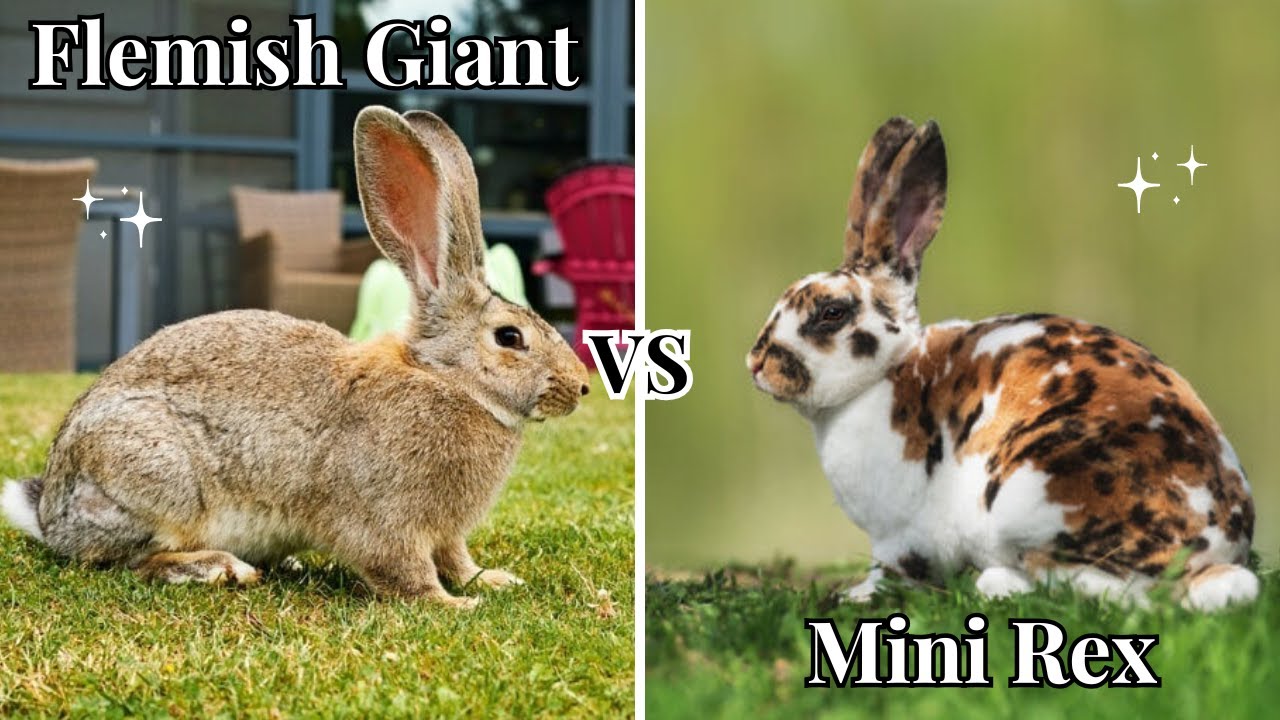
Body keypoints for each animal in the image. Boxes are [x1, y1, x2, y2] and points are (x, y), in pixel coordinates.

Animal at [0, 106, 591, 609]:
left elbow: (455, 557)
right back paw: (220, 568)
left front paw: (490, 580)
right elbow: (404, 569)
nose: (581, 387)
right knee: (129, 561)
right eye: (509, 338)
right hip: (157, 479)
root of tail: (49, 516)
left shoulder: (445, 532)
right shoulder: (384, 519)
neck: (444, 378)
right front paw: (453, 604)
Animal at [746, 117, 1257, 612]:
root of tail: (1213, 547)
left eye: (832, 313)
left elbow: (892, 573)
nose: (755, 362)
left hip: (1029, 499)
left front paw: (855, 596)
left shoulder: (899, 539)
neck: (886, 376)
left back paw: (995, 582)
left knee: (1118, 592)